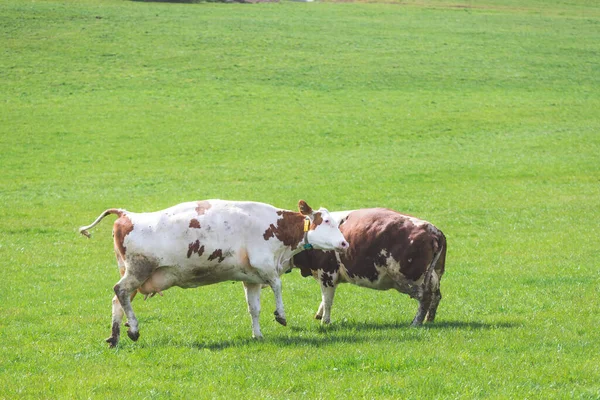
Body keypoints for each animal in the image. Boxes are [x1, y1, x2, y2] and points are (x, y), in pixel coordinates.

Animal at [81, 200, 352, 346]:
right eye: (326, 222)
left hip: (133, 274)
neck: (276, 227)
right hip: (139, 270)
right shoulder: (264, 263)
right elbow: (277, 285)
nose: (344, 243)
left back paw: (115, 336)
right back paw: (134, 329)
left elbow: (254, 308)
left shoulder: (252, 278)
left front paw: (257, 334)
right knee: (119, 291)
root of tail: (127, 215)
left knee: (117, 300)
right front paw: (281, 315)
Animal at [290, 208, 446, 326]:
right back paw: (429, 320)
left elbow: (327, 300)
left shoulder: (327, 274)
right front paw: (319, 314)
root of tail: (433, 230)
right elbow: (324, 300)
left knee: (425, 297)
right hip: (433, 275)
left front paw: (325, 321)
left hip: (409, 278)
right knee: (436, 295)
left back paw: (416, 323)